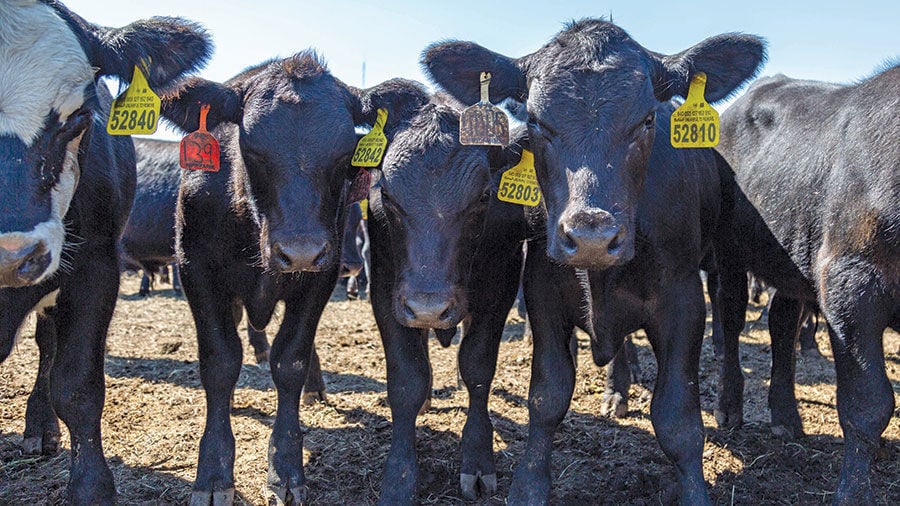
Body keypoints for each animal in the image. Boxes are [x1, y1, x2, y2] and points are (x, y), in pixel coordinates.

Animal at [0, 1, 211, 503]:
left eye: (79, 118)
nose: (12, 257)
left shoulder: (94, 266)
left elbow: (77, 385)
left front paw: (91, 487)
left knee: (47, 348)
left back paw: (40, 428)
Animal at [159, 54, 411, 505]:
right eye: (251, 148)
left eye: (346, 153)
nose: (300, 251)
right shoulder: (195, 269)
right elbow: (220, 362)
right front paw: (213, 474)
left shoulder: (321, 276)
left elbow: (290, 359)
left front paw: (286, 468)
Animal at [423, 18, 764, 504]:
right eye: (536, 121)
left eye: (647, 119)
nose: (591, 237)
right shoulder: (542, 290)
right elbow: (547, 396)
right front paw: (528, 486)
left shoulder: (684, 299)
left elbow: (678, 417)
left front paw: (694, 491)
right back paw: (616, 390)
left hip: (724, 262)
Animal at [714, 66, 899, 504]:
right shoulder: (850, 282)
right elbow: (868, 402)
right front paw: (854, 492)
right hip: (729, 252)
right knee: (730, 316)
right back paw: (729, 408)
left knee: (782, 323)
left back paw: (786, 418)